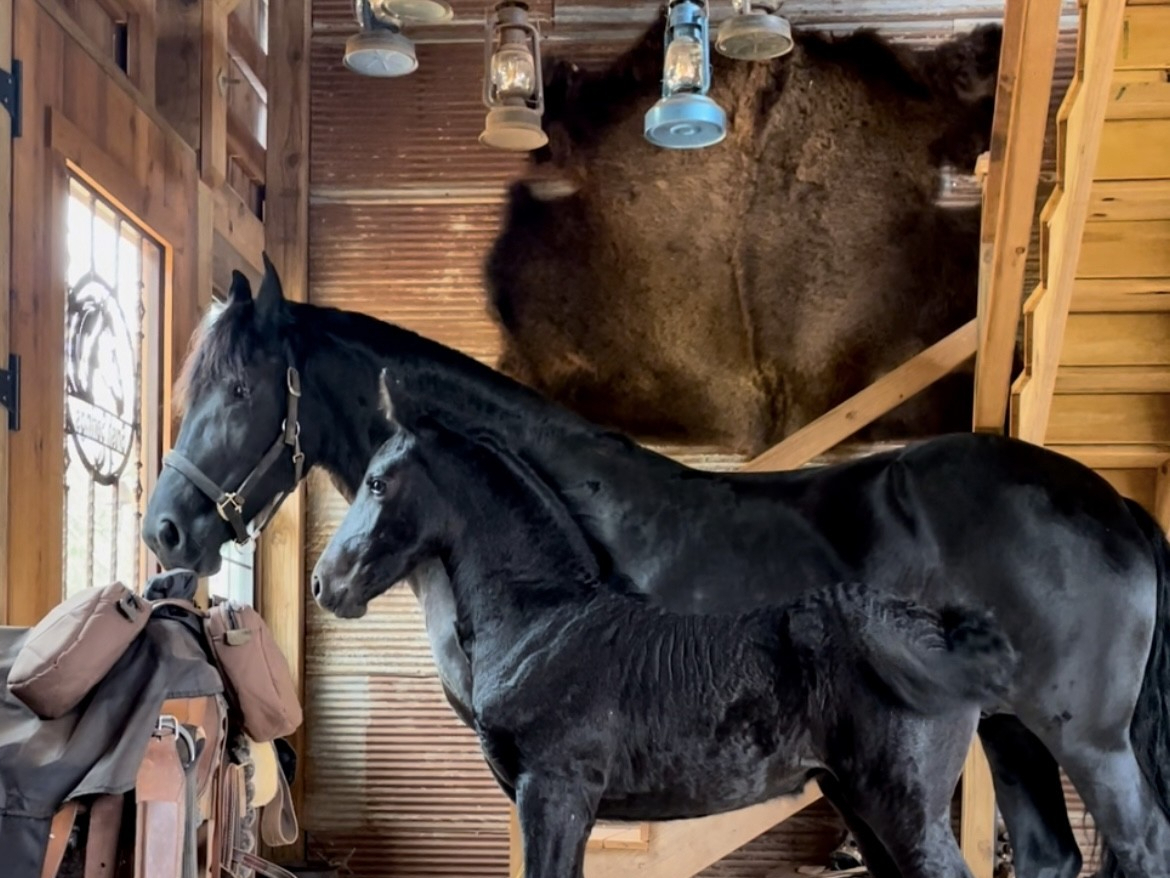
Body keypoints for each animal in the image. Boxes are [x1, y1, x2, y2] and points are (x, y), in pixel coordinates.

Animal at [309, 373, 1017, 878]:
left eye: (377, 483)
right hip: (863, 806)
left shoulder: (553, 793)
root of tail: (935, 638)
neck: (544, 622)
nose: (323, 584)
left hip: (907, 812)